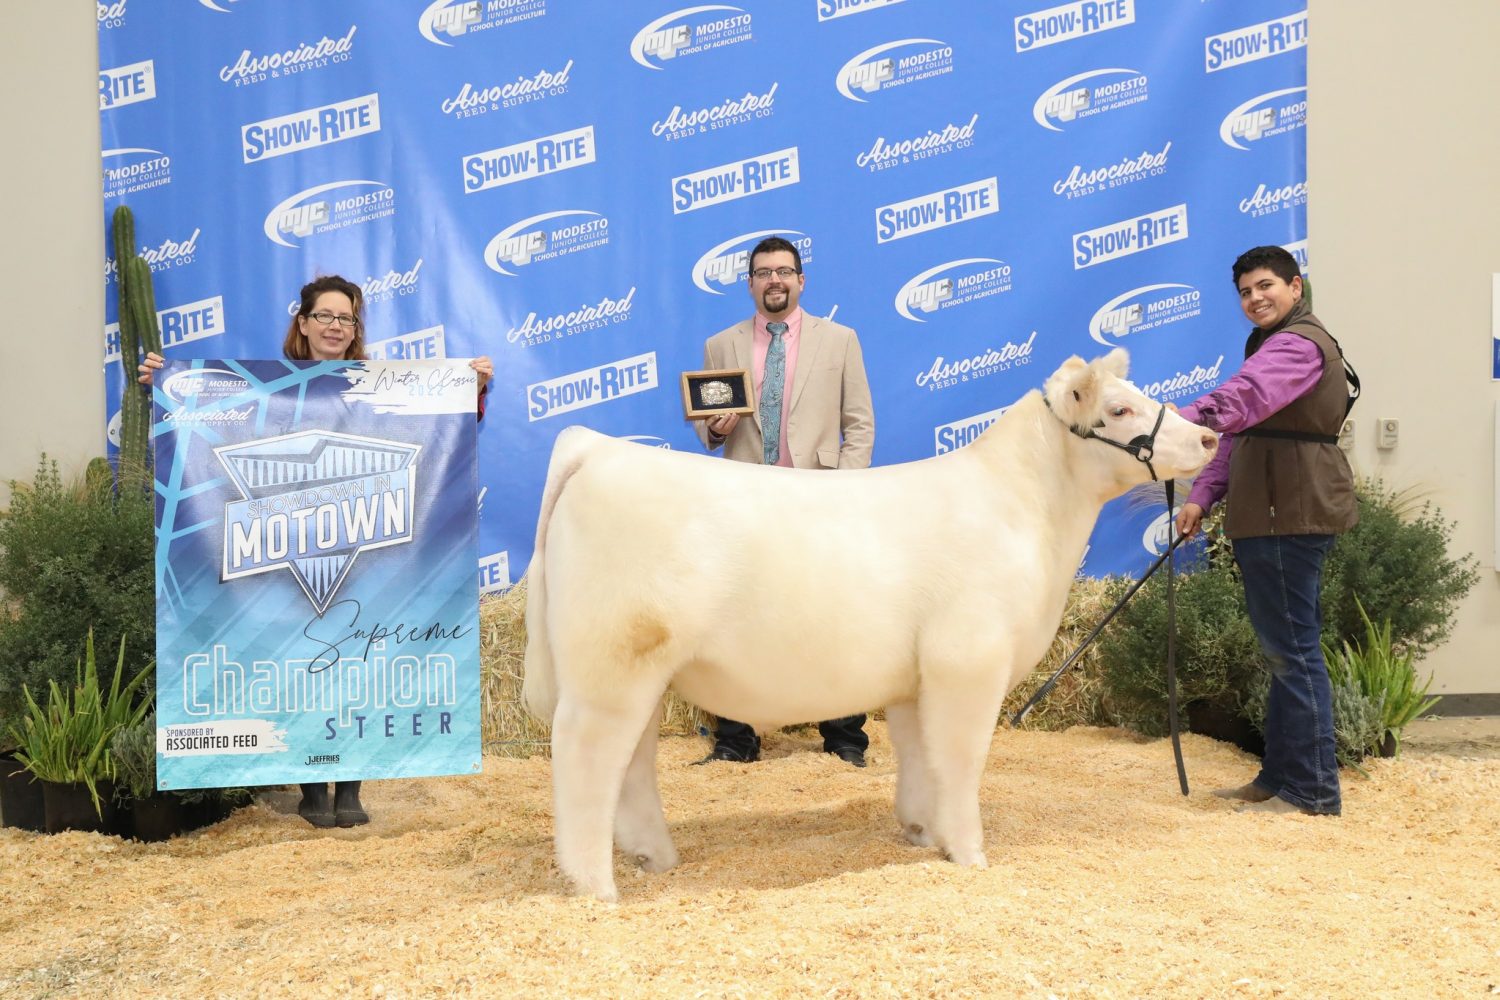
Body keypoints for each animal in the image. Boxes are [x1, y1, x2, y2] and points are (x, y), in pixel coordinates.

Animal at [522, 349, 1217, 901]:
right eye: (1119, 410)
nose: (1209, 438)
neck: (1026, 512)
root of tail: (597, 449)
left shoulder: (917, 678)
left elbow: (920, 756)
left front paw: (922, 833)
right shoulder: (968, 661)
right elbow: (959, 758)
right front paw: (970, 853)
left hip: (637, 672)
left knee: (631, 762)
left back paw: (654, 857)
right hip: (613, 666)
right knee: (587, 757)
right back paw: (597, 887)